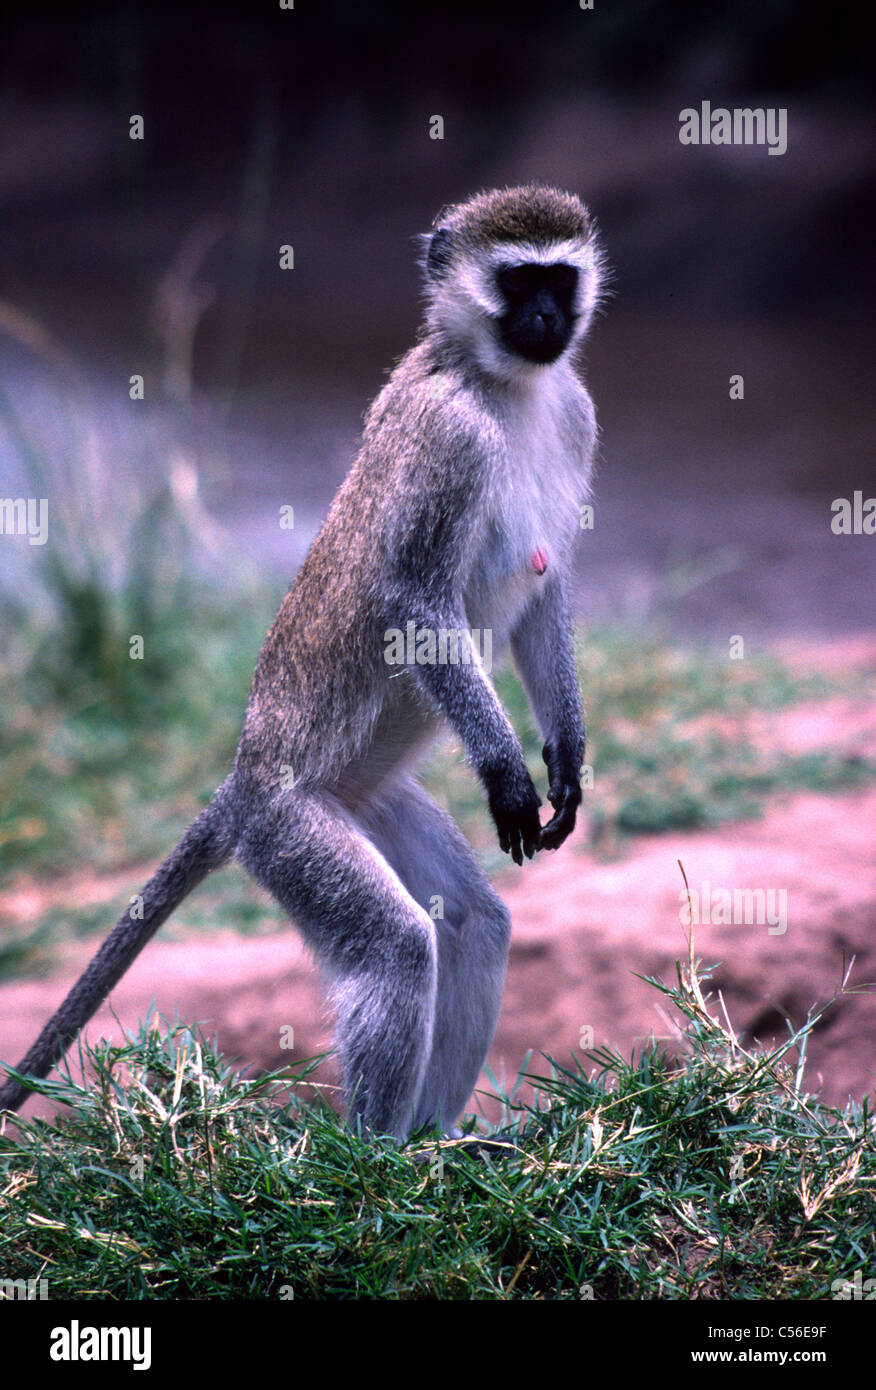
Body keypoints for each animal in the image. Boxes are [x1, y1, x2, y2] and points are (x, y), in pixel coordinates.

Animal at [0, 185, 604, 1139]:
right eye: (517, 280)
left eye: (559, 277)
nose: (546, 317)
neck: (507, 387)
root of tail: (245, 779)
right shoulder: (448, 445)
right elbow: (412, 601)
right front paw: (509, 775)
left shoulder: (575, 415)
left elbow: (544, 603)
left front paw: (565, 761)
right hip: (291, 831)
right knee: (395, 948)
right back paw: (381, 1155)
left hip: (373, 803)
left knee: (472, 924)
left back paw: (438, 1141)